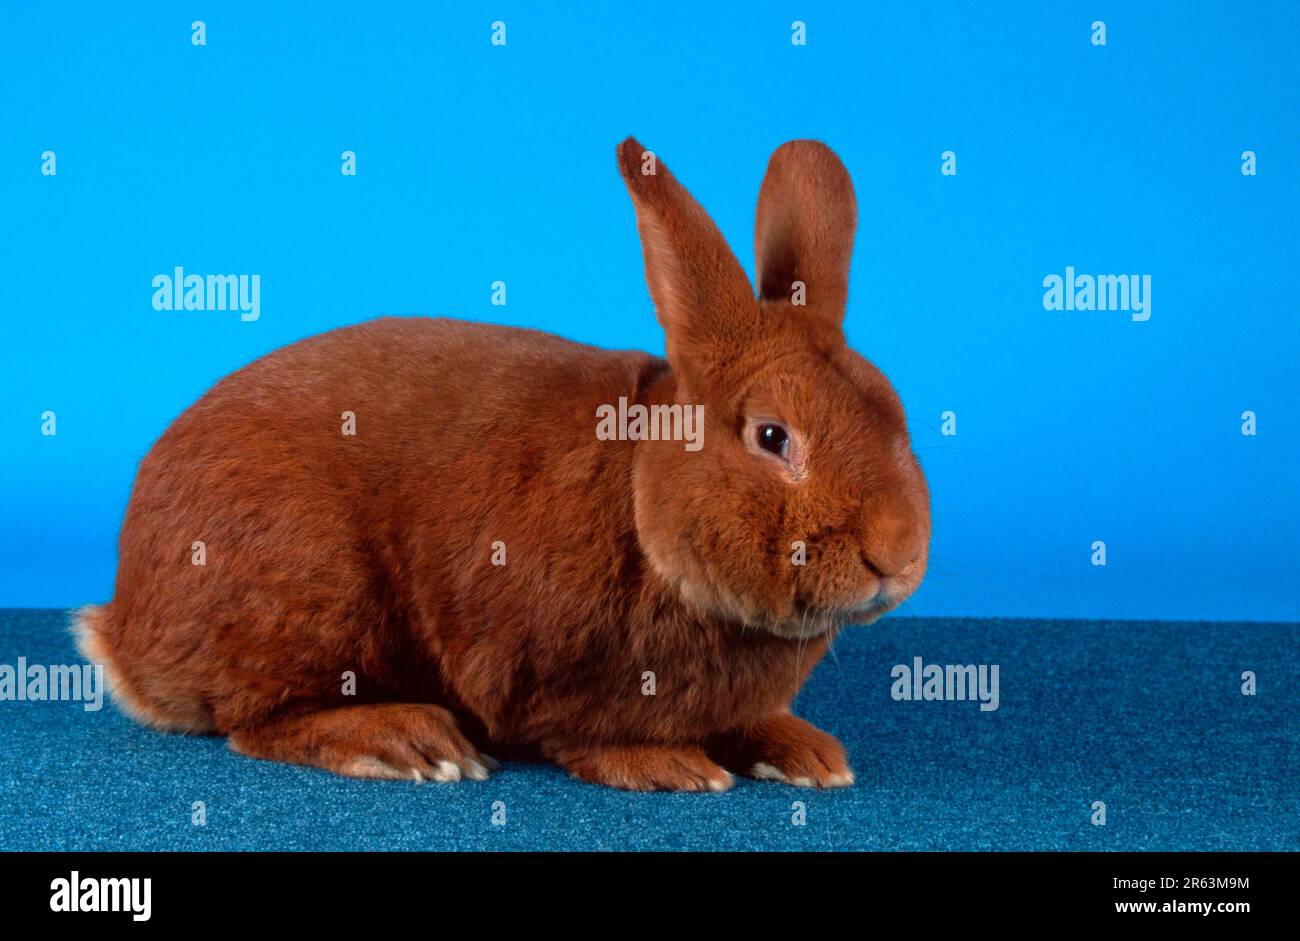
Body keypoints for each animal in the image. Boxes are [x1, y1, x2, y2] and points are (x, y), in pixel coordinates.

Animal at [75, 137, 930, 792]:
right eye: (773, 436)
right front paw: (673, 767)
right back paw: (407, 740)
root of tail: (124, 629)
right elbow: (582, 734)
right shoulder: (534, 668)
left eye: (894, 409)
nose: (895, 553)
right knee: (257, 720)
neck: (642, 506)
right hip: (308, 588)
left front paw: (806, 754)